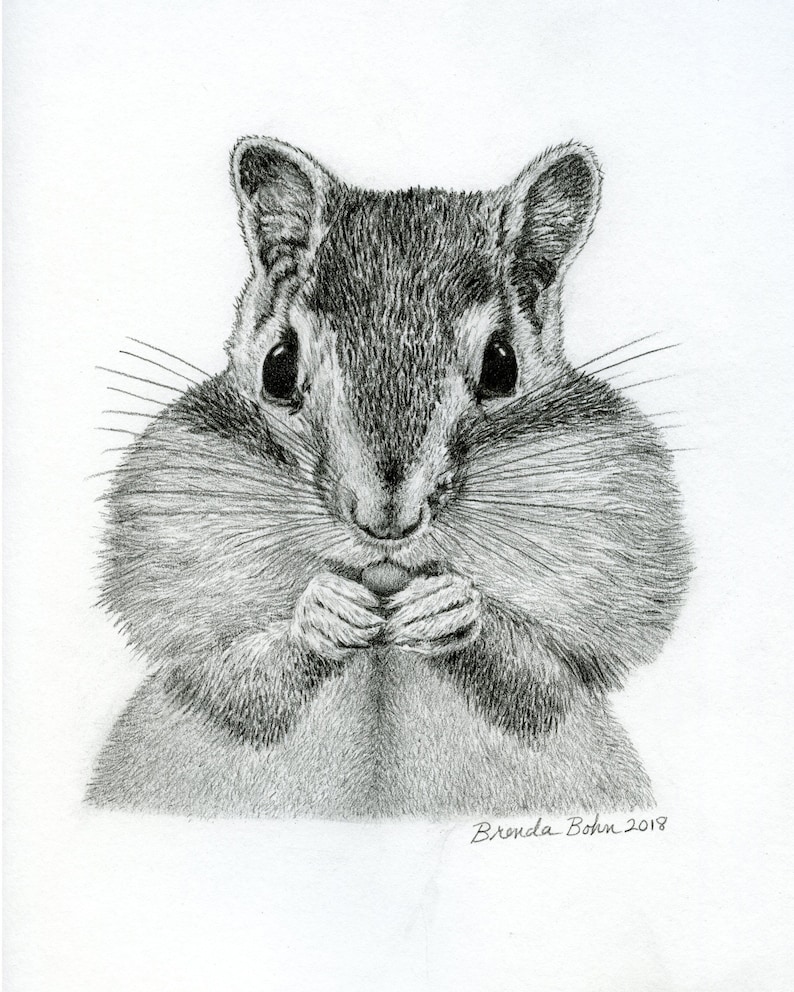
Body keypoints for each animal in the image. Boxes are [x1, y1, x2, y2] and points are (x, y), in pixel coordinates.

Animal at [87, 136, 692, 817]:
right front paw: (324, 611)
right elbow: (231, 673)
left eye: (502, 366)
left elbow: (542, 673)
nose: (386, 523)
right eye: (277, 367)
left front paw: (449, 607)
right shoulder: (168, 532)